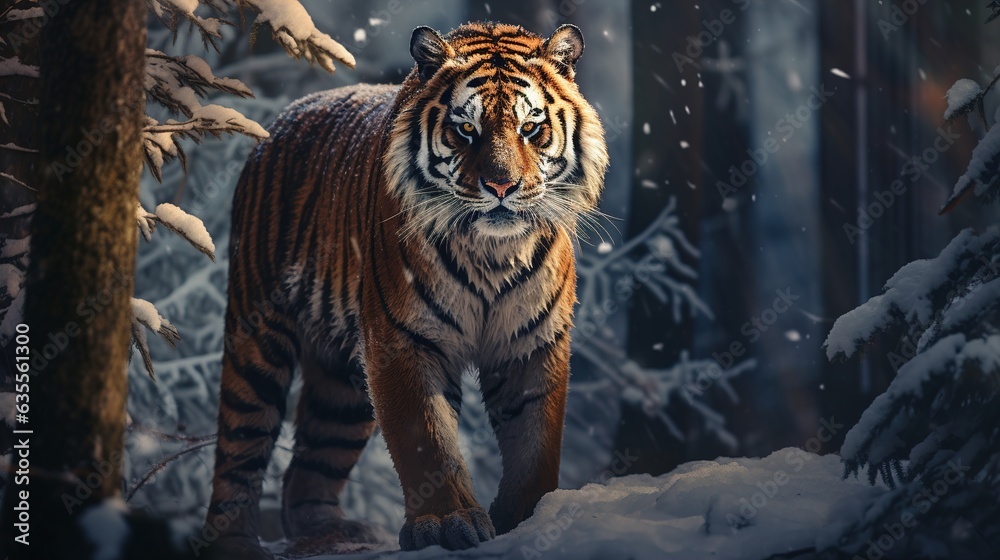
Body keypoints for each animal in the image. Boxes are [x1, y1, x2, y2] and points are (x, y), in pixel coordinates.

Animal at [204, 21, 608, 558]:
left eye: (530, 129)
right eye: (466, 129)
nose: (502, 187)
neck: (492, 253)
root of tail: (282, 120)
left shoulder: (531, 343)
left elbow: (536, 442)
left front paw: (529, 519)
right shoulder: (403, 341)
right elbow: (427, 440)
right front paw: (446, 523)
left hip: (343, 383)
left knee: (309, 467)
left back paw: (333, 535)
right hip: (258, 337)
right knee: (240, 448)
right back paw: (234, 542)